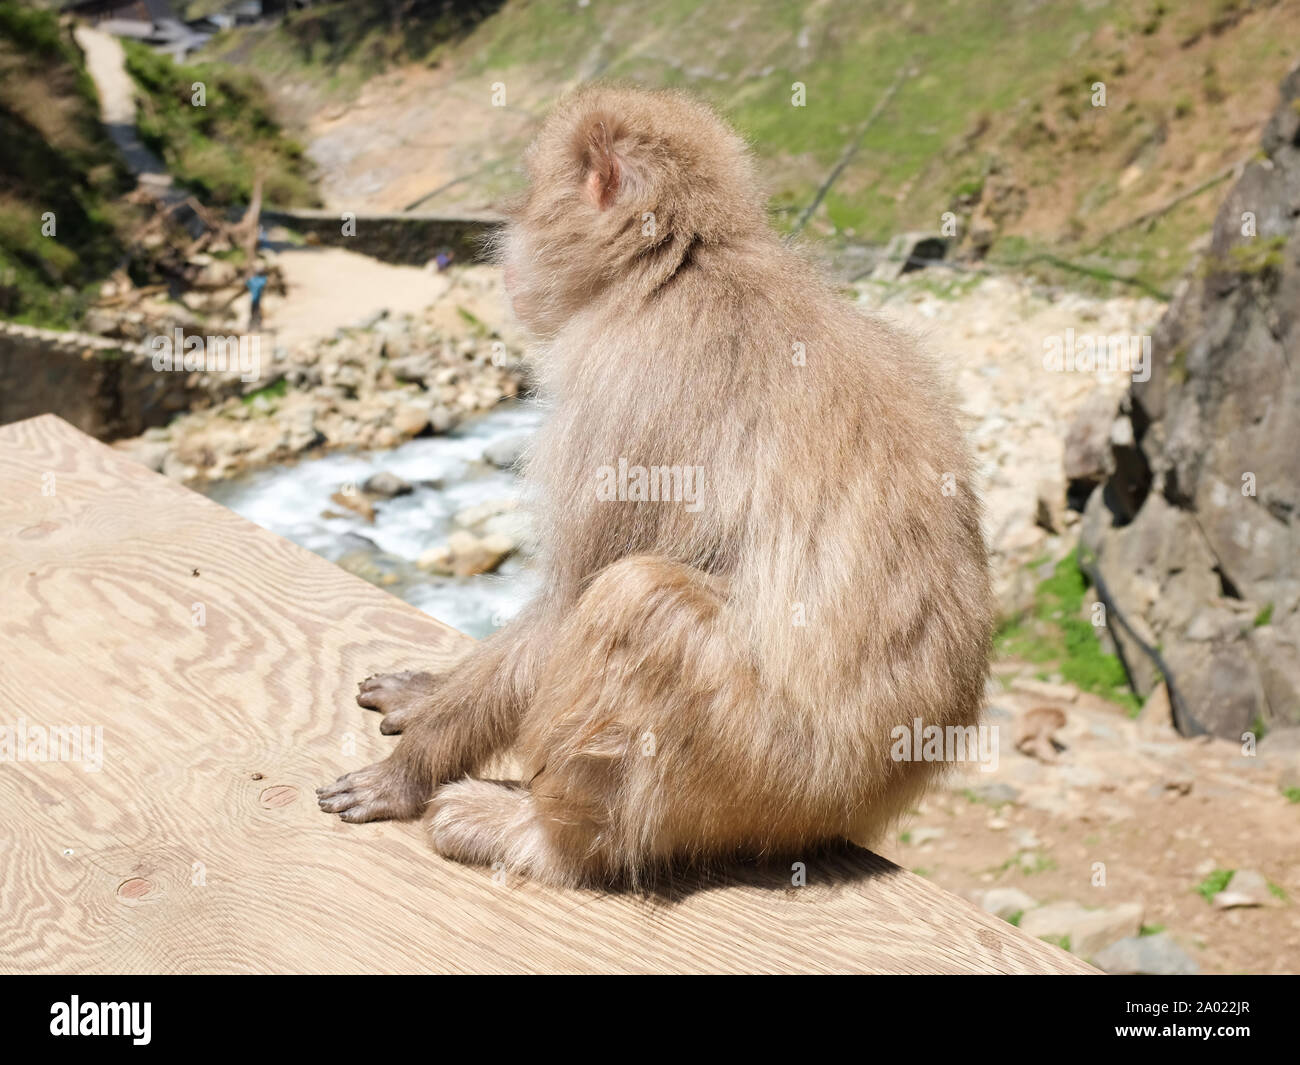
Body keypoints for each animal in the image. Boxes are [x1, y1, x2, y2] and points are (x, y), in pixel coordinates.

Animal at [317, 85, 993, 889]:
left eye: (529, 196)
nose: (503, 244)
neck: (674, 269)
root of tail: (891, 784)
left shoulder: (624, 388)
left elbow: (569, 603)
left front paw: (410, 769)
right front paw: (429, 692)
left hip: (772, 778)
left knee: (640, 601)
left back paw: (548, 838)